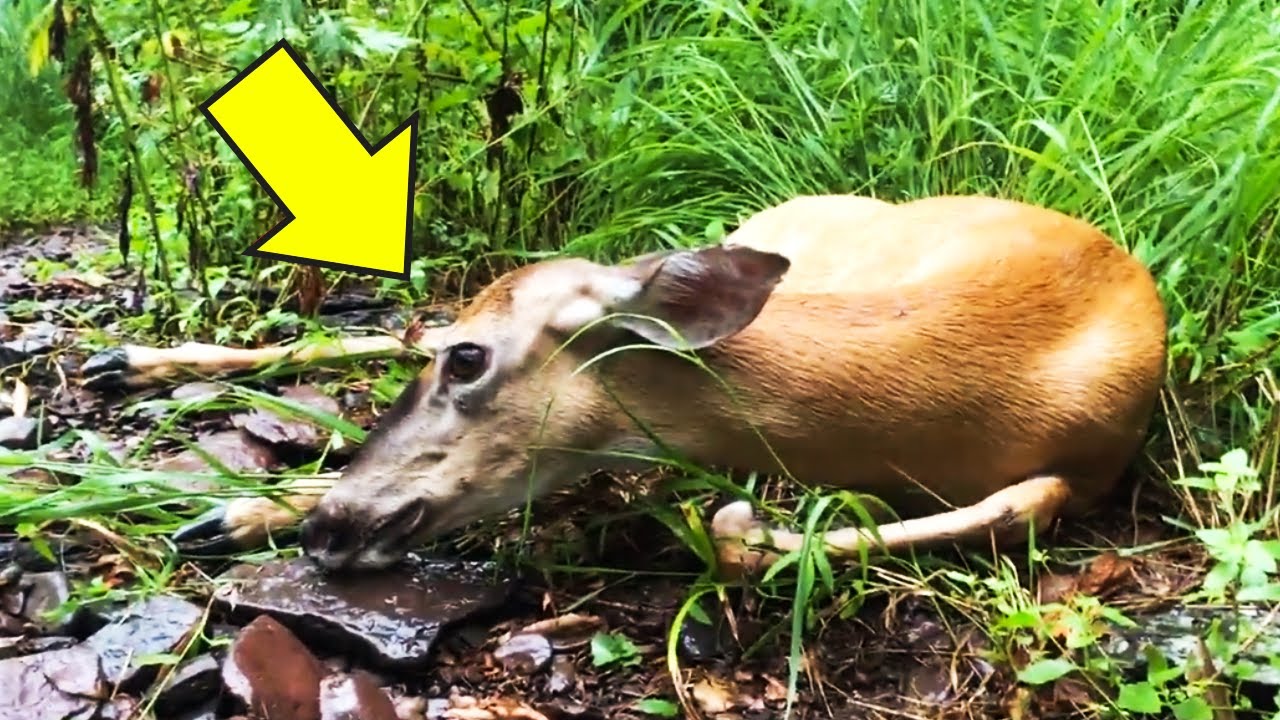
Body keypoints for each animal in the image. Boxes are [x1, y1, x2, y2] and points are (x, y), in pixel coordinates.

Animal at [80, 194, 1169, 576]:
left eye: (472, 362)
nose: (331, 528)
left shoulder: (1091, 464)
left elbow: (1022, 503)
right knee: (399, 320)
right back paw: (131, 375)